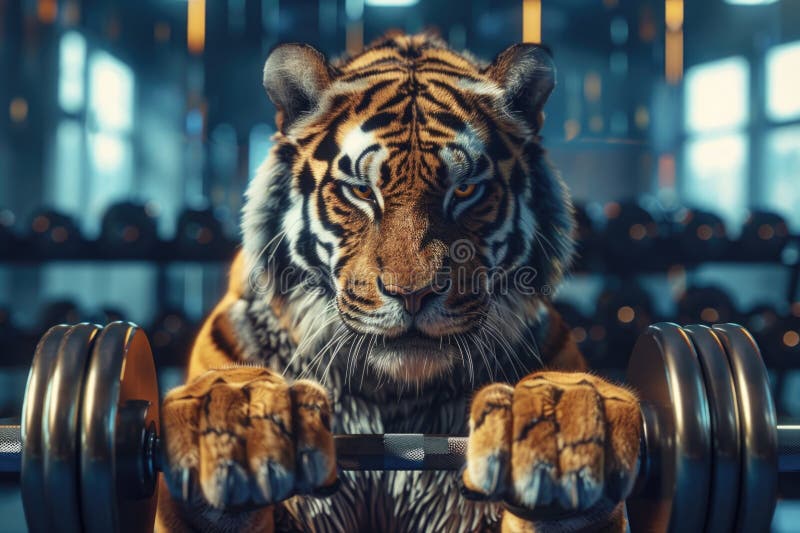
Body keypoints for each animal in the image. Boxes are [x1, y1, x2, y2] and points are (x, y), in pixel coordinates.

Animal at [155, 32, 641, 533]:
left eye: (465, 190)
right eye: (361, 191)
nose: (413, 294)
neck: (395, 403)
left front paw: (562, 432)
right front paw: (235, 428)